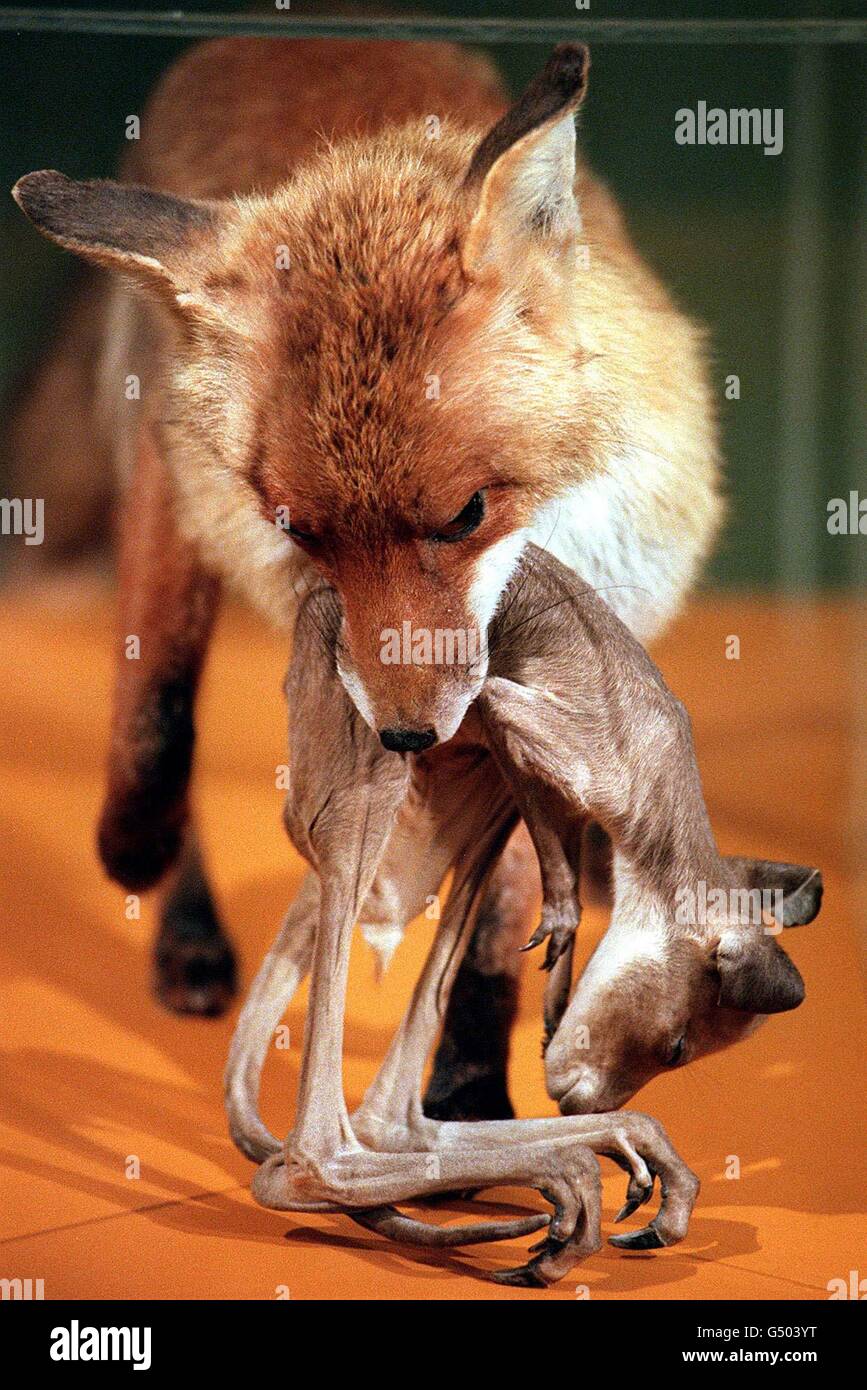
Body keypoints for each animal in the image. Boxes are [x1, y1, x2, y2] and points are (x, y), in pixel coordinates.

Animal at [11, 37, 722, 1120]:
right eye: (300, 529)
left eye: (466, 514)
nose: (405, 736)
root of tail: (293, 30)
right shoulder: (177, 474)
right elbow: (158, 703)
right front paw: (133, 842)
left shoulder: (520, 704)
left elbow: (499, 908)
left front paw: (468, 1083)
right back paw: (185, 932)